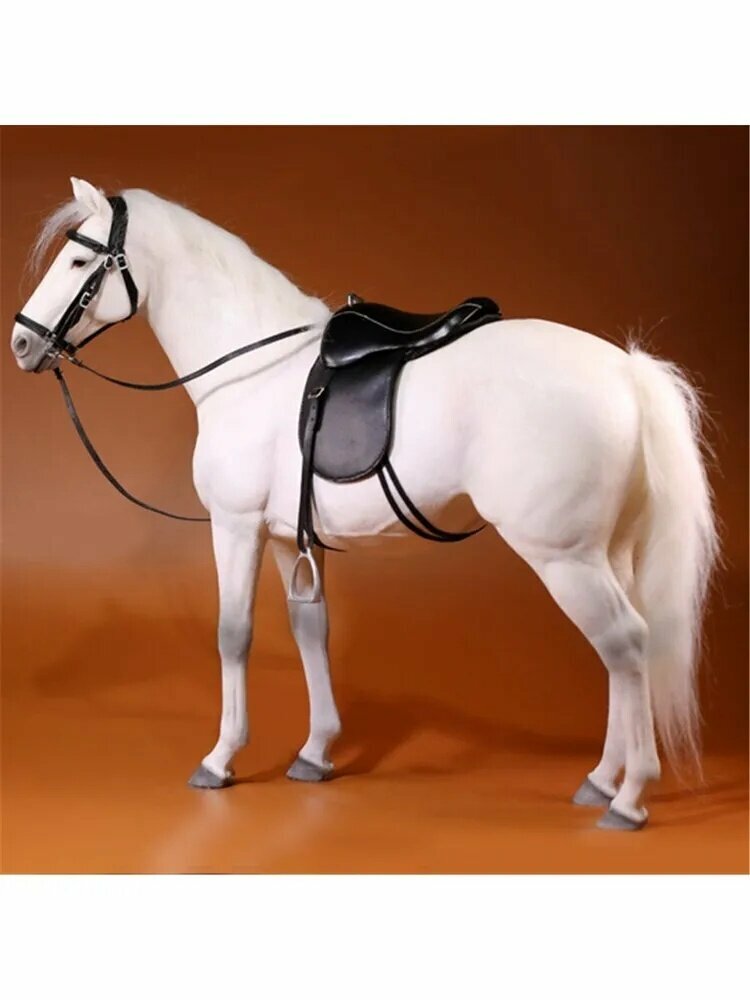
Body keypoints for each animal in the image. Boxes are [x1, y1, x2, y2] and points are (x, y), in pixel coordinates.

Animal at [10, 177, 719, 831]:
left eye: (79, 260)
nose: (22, 343)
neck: (254, 371)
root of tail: (625, 372)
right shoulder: (287, 537)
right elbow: (310, 630)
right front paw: (316, 752)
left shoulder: (235, 527)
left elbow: (233, 635)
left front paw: (220, 758)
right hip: (609, 554)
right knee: (625, 652)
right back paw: (603, 778)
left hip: (564, 557)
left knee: (624, 643)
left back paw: (629, 797)